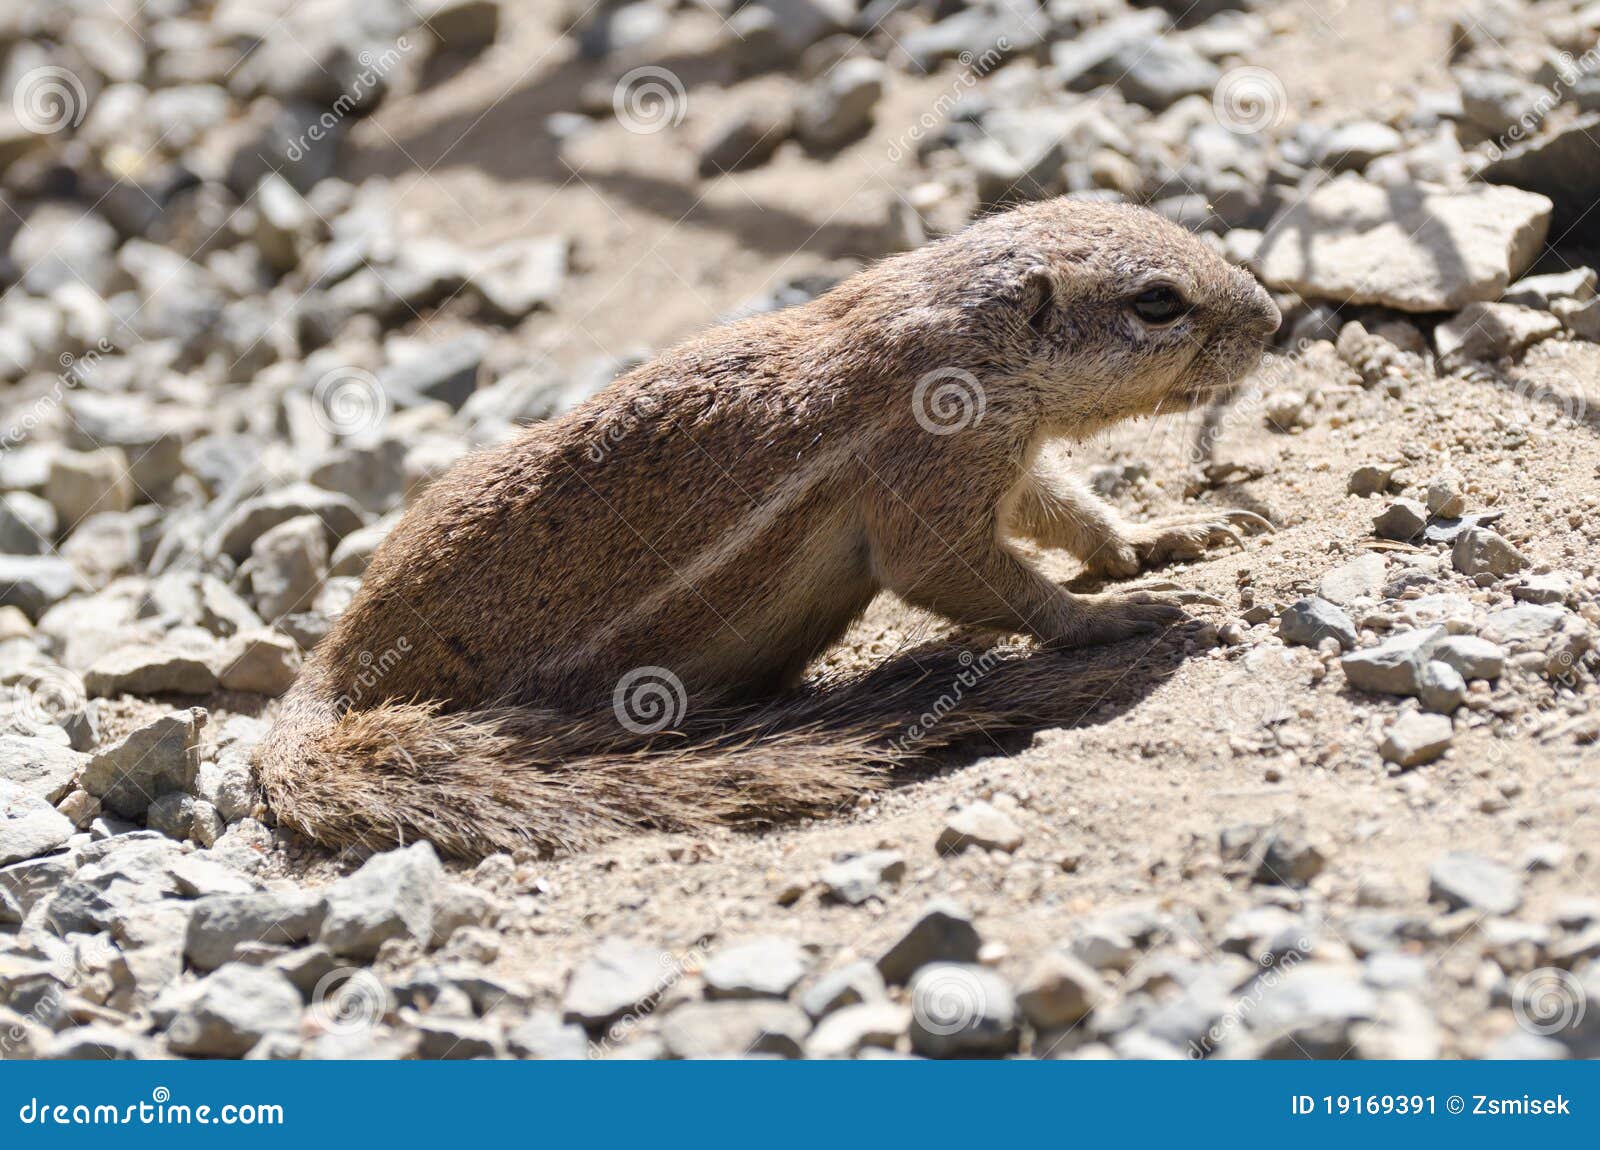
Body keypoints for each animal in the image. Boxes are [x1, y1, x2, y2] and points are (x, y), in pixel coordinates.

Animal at [254, 197, 1281, 859]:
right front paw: (1114, 616)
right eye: (1157, 301)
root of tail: (334, 667)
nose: (1274, 315)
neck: (964, 340)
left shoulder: (1005, 457)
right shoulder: (932, 469)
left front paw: (1160, 535)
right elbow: (961, 570)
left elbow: (1062, 506)